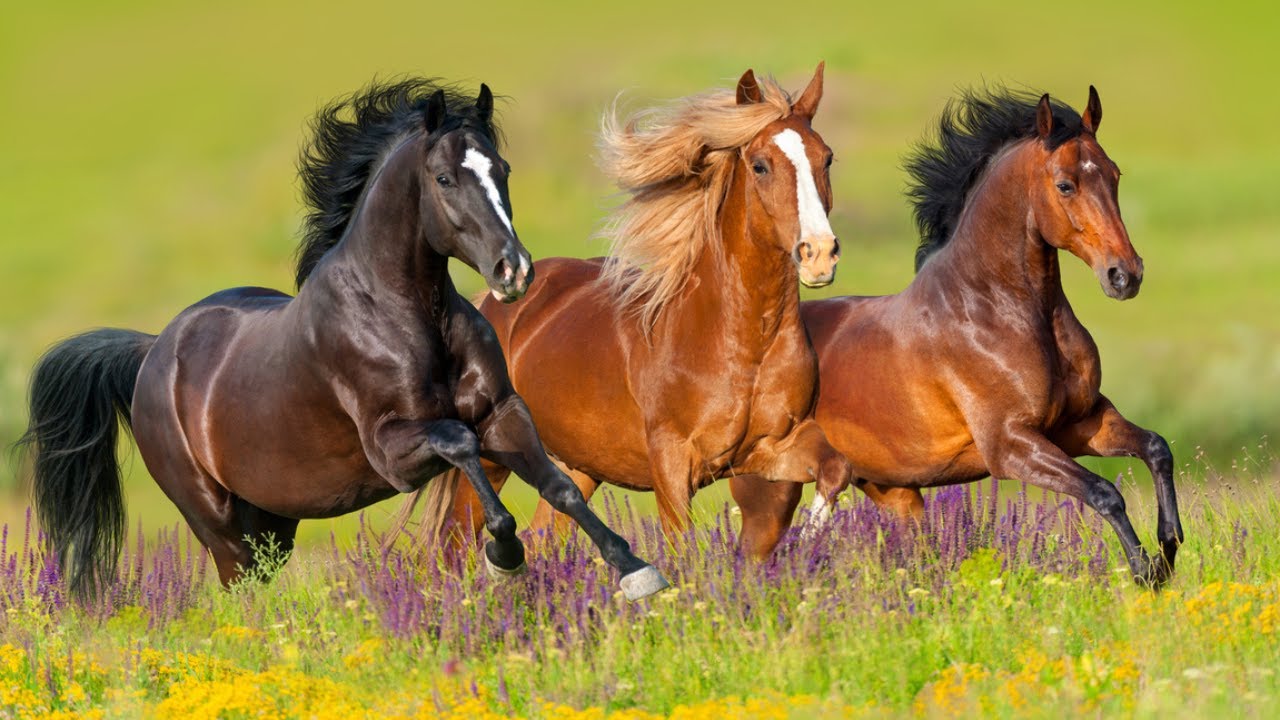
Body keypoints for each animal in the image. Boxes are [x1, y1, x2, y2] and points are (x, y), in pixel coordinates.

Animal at [18, 78, 668, 601]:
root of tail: (153, 352)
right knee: (239, 592)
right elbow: (460, 444)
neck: (408, 316)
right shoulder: (394, 450)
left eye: (502, 170)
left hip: (272, 522)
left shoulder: (503, 414)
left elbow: (561, 487)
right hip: (217, 523)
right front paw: (504, 557)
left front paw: (637, 571)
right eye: (444, 177)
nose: (515, 272)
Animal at [411, 65, 854, 558]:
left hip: (579, 466)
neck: (741, 343)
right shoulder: (672, 465)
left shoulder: (772, 448)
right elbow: (683, 550)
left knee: (545, 535)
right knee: (455, 545)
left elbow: (835, 469)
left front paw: (806, 545)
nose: (819, 254)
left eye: (826, 159)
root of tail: (492, 303)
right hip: (492, 456)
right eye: (760, 165)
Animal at [735, 87, 1183, 586]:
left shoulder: (1080, 423)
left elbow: (1156, 448)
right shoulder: (1010, 446)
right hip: (770, 493)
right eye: (1066, 184)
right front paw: (1146, 572)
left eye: (1114, 174)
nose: (1125, 275)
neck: (995, 310)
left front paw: (1168, 548)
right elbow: (1105, 492)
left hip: (895, 493)